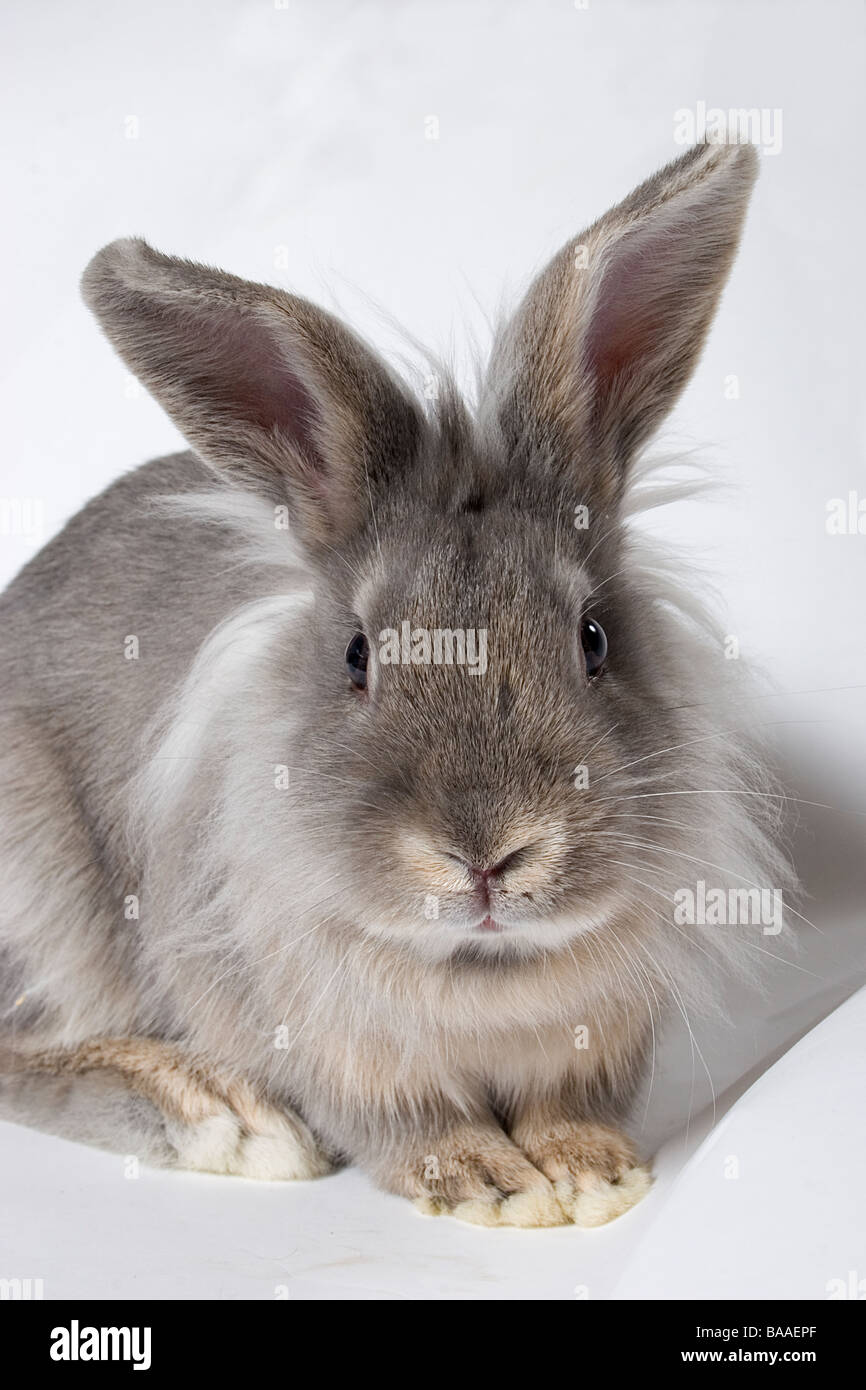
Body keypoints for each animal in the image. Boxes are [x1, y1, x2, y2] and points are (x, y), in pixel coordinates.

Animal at [0, 140, 793, 1228]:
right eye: (355, 655)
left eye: (592, 638)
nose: (487, 855)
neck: (484, 972)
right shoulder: (329, 1046)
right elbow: (407, 1127)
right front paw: (490, 1184)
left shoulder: (601, 1040)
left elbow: (568, 1105)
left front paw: (590, 1172)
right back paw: (219, 1116)